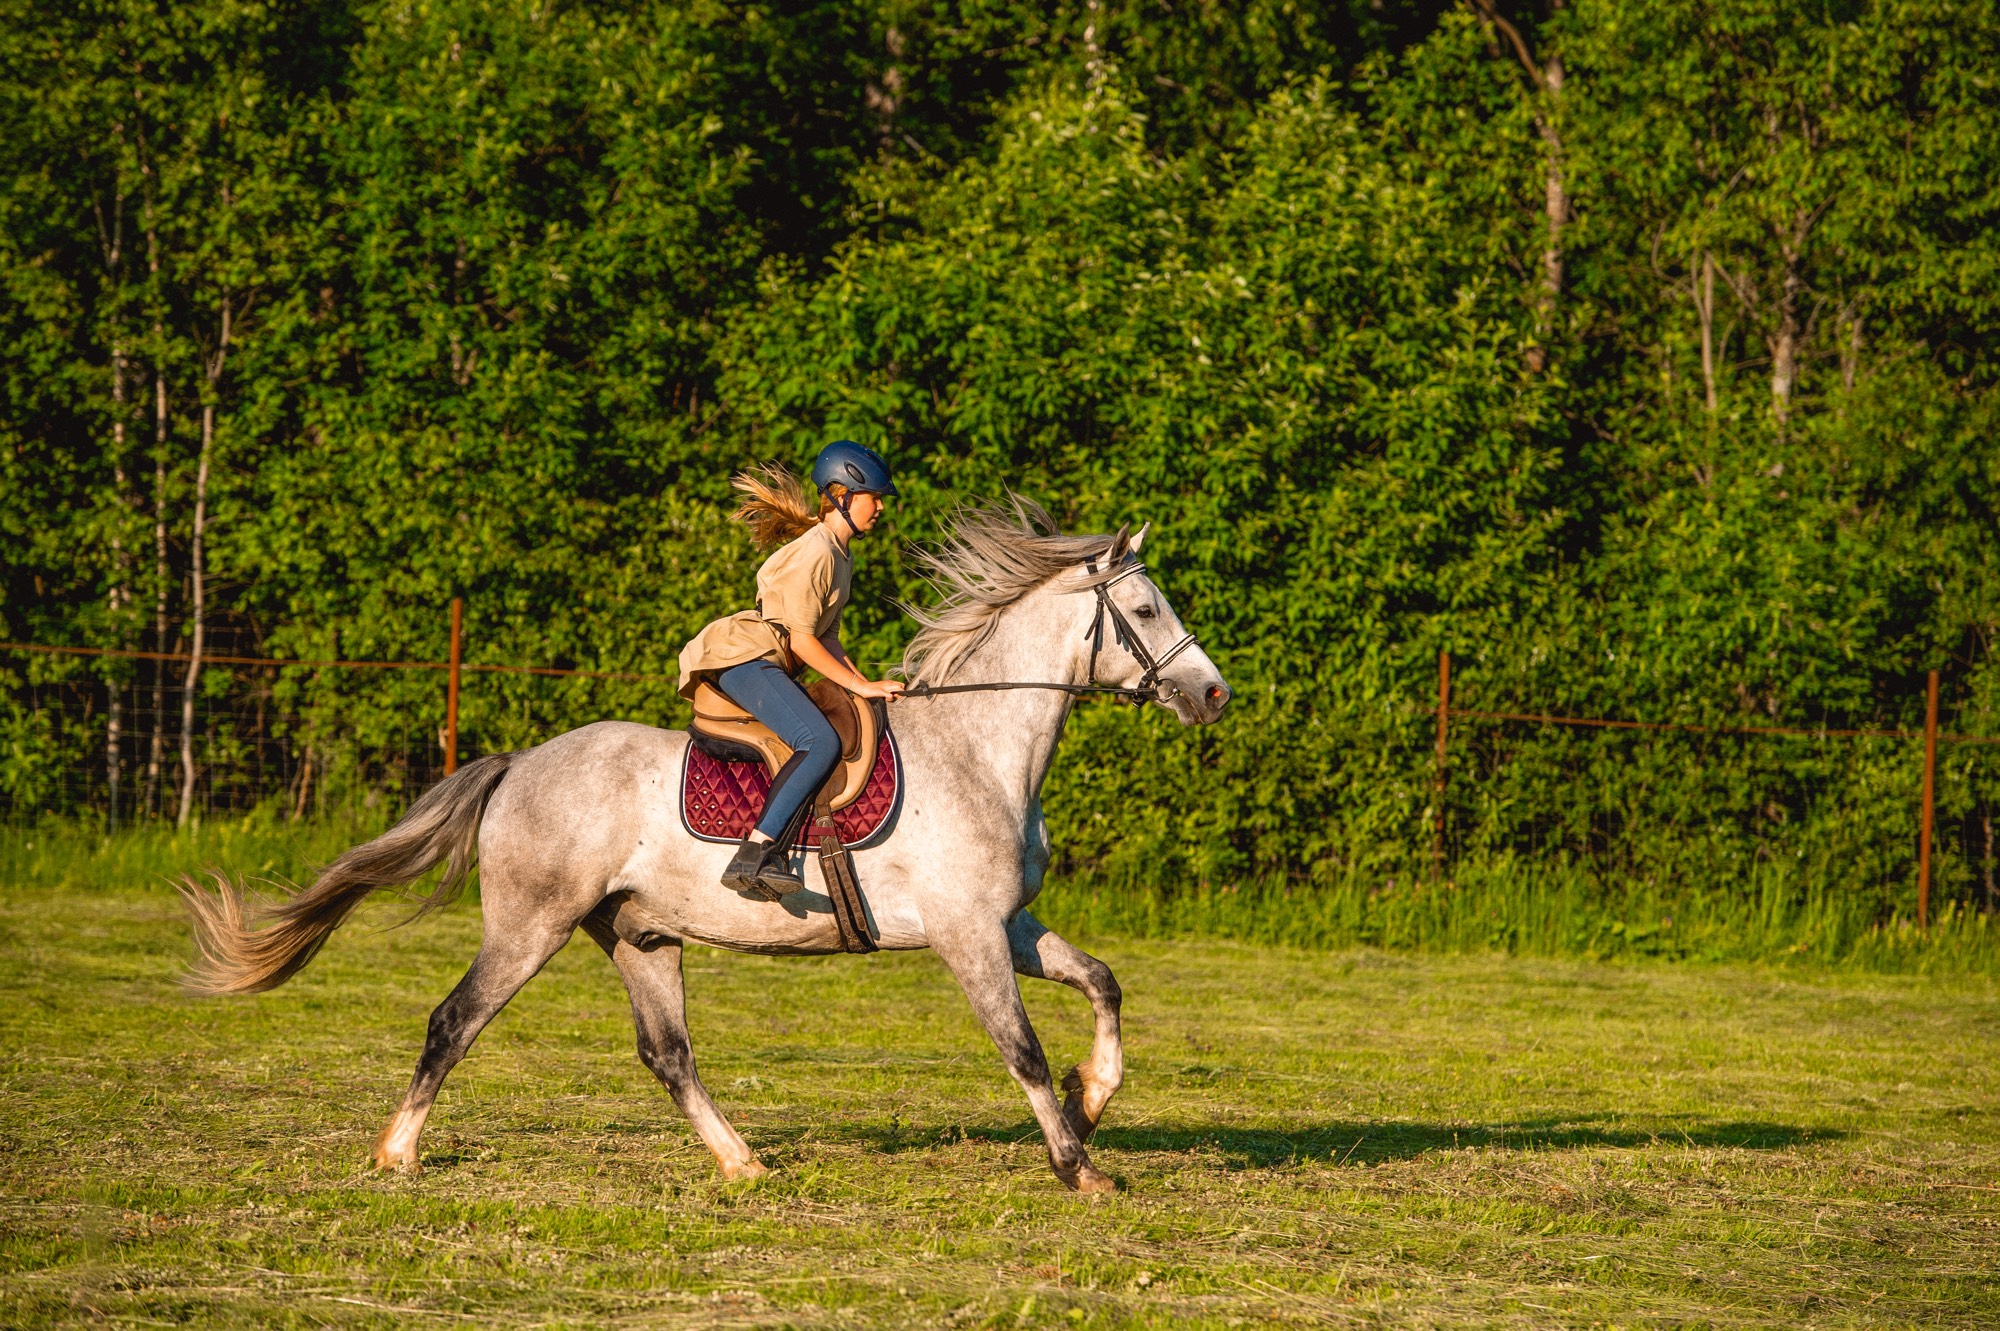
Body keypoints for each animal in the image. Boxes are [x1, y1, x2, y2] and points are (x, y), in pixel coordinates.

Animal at [180, 497, 1232, 1191]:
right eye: (1146, 612)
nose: (1214, 694)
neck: (980, 745)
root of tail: (520, 764)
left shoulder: (1003, 922)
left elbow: (1101, 983)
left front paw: (1094, 1097)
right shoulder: (966, 932)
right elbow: (1019, 1047)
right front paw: (1077, 1165)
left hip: (640, 934)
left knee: (667, 1053)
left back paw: (742, 1162)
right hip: (531, 925)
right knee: (455, 1020)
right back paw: (396, 1152)